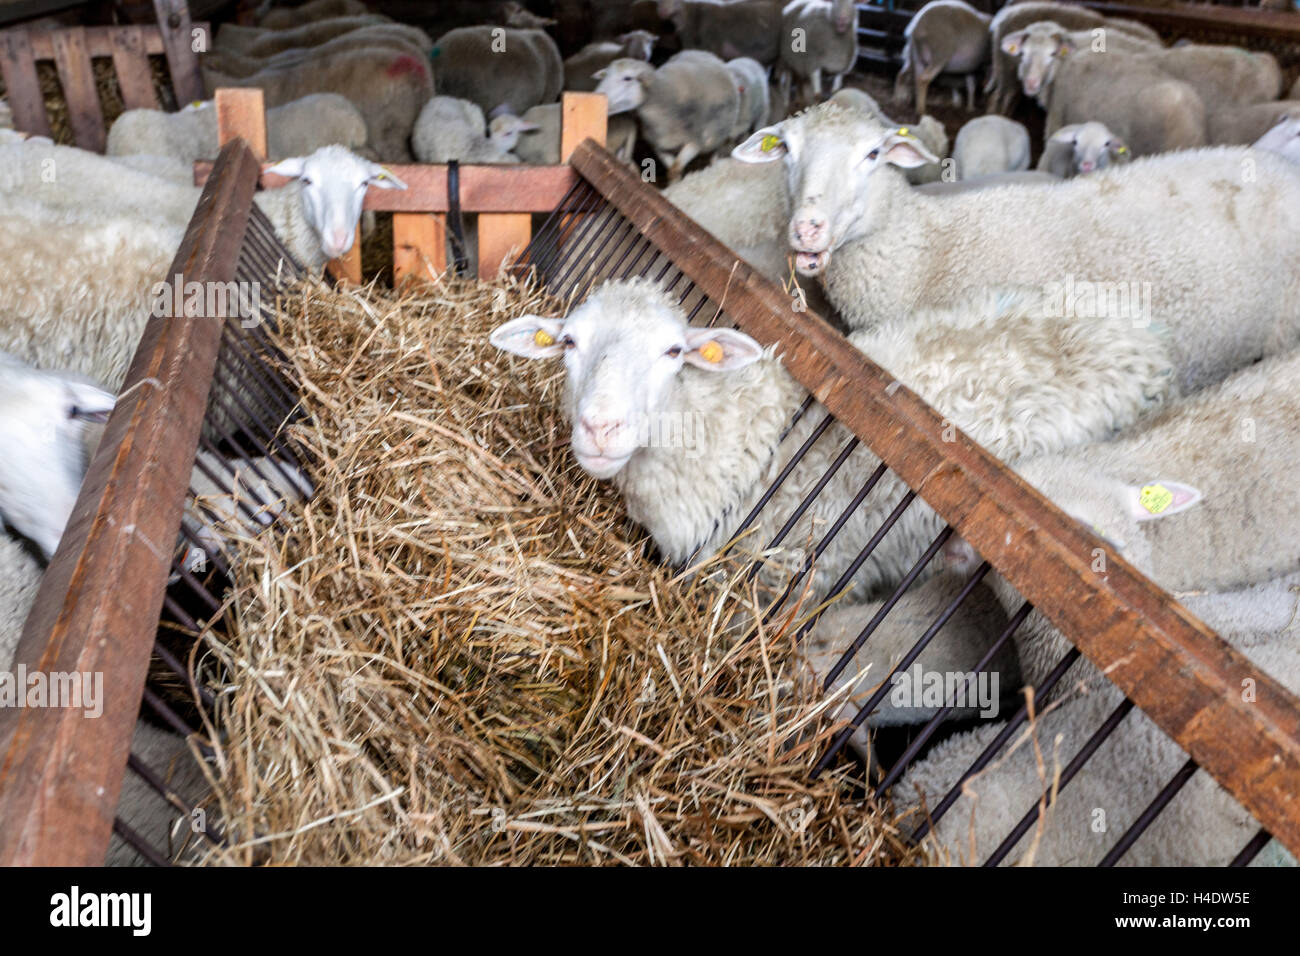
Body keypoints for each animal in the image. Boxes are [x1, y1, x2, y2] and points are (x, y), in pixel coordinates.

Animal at [594, 52, 740, 182]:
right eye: (605, 75)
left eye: (627, 78)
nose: (598, 94)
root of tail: (704, 53)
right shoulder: (659, 147)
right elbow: (672, 172)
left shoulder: (695, 142)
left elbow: (674, 170)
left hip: (720, 134)